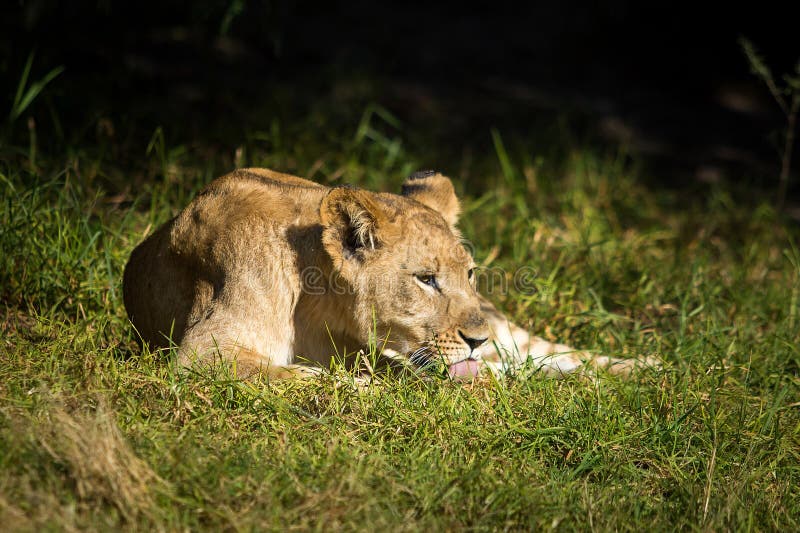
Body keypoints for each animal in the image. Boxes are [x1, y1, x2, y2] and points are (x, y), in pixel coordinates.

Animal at [123, 168, 657, 380]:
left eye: (469, 274)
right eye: (426, 279)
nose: (477, 340)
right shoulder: (202, 352)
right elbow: (304, 378)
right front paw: (363, 387)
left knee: (549, 354)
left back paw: (653, 369)